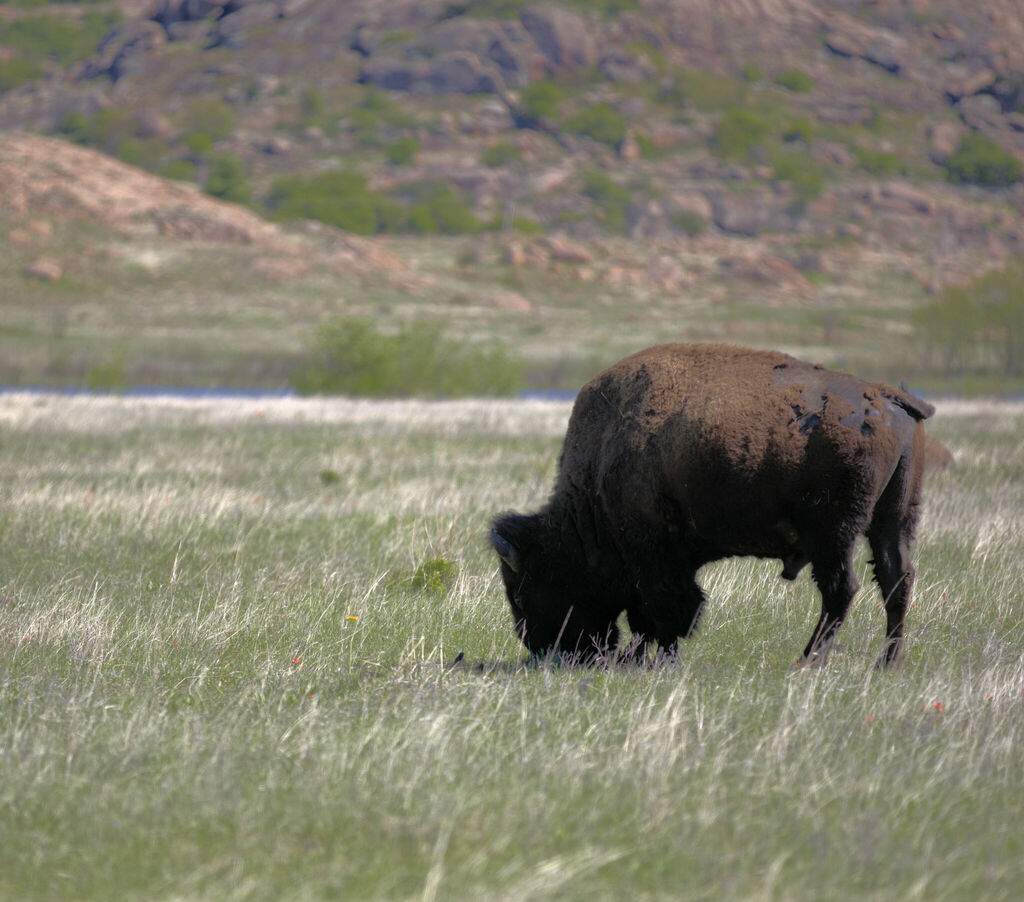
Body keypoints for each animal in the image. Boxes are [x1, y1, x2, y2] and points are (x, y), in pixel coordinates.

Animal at [491, 344, 934, 668]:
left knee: (841, 591)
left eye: (523, 592)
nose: (543, 649)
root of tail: (887, 396)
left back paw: (808, 660)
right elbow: (652, 613)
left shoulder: (653, 555)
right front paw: (640, 658)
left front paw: (657, 660)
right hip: (894, 519)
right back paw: (888, 662)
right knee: (896, 582)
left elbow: (662, 610)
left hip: (834, 533)